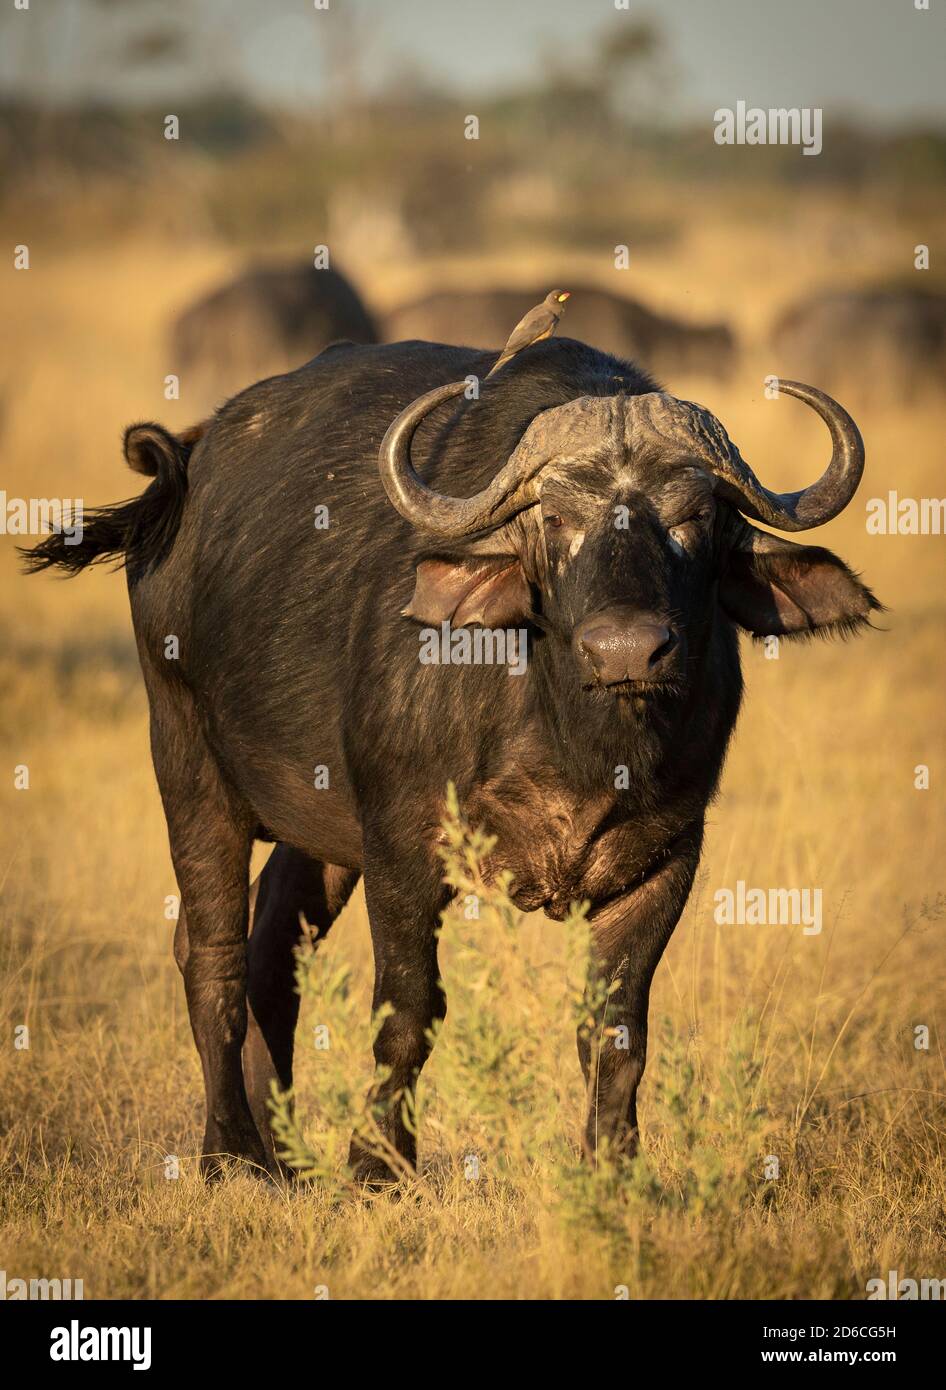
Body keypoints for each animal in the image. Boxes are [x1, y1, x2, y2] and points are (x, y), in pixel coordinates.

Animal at [27, 322, 877, 1184]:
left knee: (269, 950)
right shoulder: (402, 847)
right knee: (211, 957)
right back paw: (232, 1153)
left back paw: (284, 1154)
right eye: (554, 520)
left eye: (694, 516)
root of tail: (189, 461)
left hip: (321, 832)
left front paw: (613, 1168)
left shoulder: (665, 861)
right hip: (189, 768)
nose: (628, 650)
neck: (573, 734)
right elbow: (406, 1012)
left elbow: (616, 1034)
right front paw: (378, 1167)